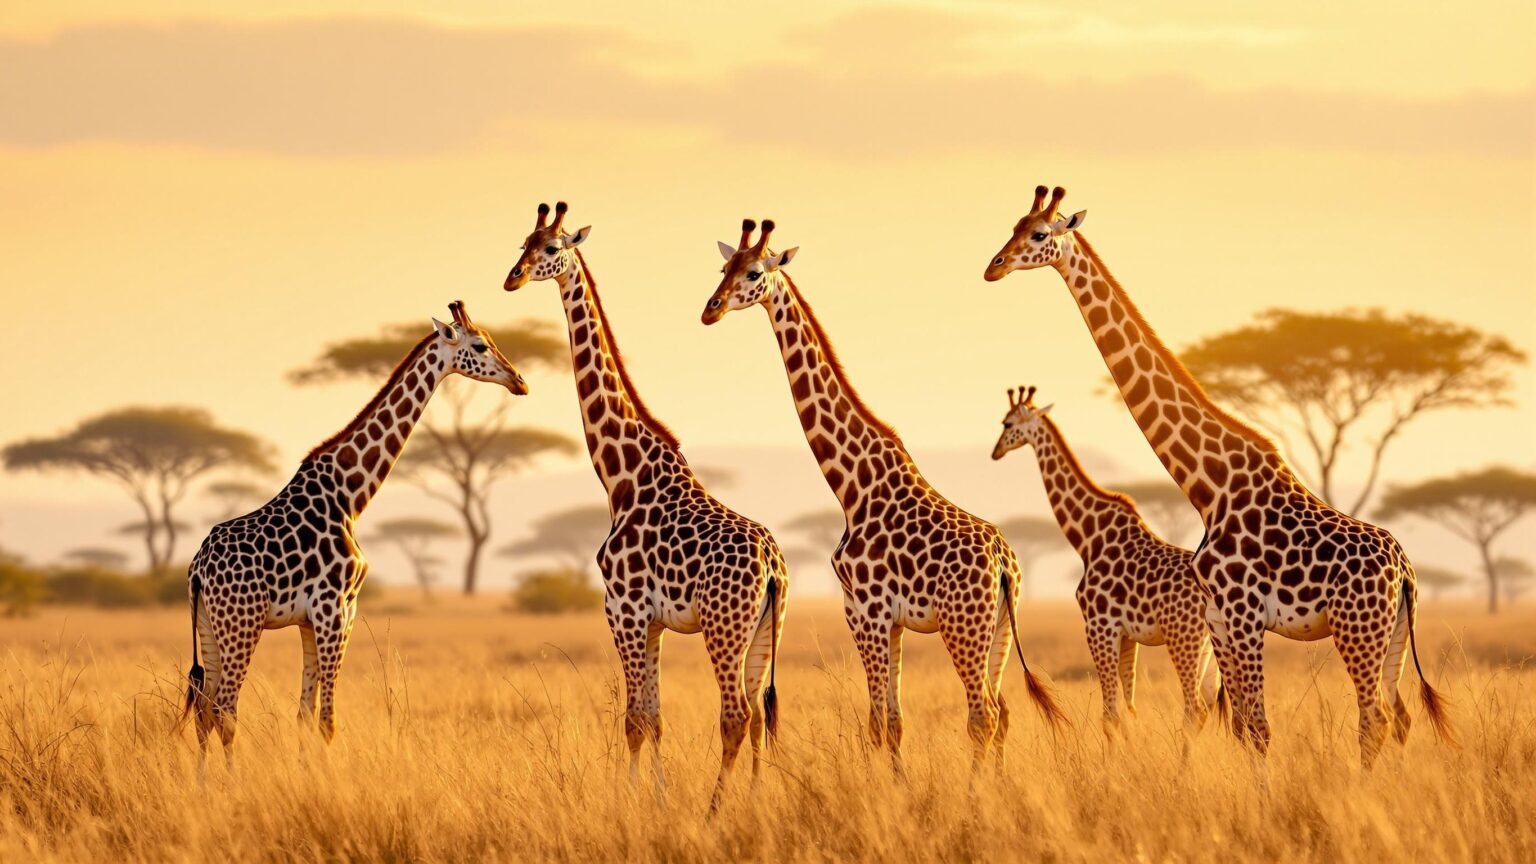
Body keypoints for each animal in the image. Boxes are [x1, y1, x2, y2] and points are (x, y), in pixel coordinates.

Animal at [179, 301, 526, 777]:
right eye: (479, 346)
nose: (519, 381)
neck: (350, 495)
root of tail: (199, 568)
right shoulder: (337, 608)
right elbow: (328, 719)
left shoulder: (309, 620)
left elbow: (305, 715)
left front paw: (307, 778)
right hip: (241, 624)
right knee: (225, 709)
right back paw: (230, 785)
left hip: (209, 626)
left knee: (204, 710)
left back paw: (202, 785)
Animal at [503, 202, 788, 812]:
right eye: (523, 243)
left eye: (551, 249)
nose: (511, 278)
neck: (623, 476)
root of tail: (773, 567)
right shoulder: (652, 620)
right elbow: (654, 718)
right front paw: (654, 796)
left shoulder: (623, 609)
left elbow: (634, 719)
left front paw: (630, 800)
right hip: (764, 628)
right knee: (758, 717)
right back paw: (755, 801)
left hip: (723, 627)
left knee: (736, 715)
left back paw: (715, 809)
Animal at [701, 218, 1067, 772]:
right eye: (724, 267)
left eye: (754, 273)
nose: (711, 308)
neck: (852, 486)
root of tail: (1005, 565)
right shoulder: (889, 621)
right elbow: (891, 722)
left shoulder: (864, 611)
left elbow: (878, 723)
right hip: (1002, 627)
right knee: (1002, 713)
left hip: (964, 625)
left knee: (982, 715)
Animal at [992, 384, 1219, 736]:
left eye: (1007, 423)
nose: (996, 451)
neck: (1088, 538)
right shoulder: (1127, 636)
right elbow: (1129, 708)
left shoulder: (1099, 627)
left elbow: (1110, 714)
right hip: (1213, 644)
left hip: (1184, 639)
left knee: (1195, 709)